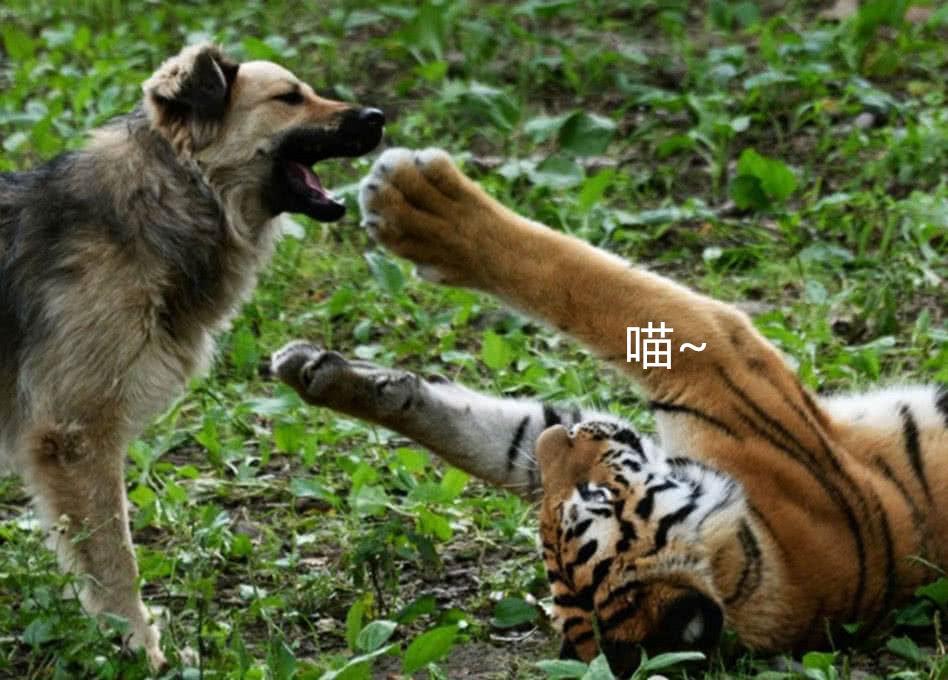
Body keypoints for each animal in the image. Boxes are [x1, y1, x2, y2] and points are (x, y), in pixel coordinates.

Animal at [271, 147, 948, 674]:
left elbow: (589, 285)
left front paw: (416, 203)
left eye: (595, 498)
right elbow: (494, 429)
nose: (564, 437)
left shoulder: (718, 362)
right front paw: (326, 375)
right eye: (546, 523)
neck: (763, 547)